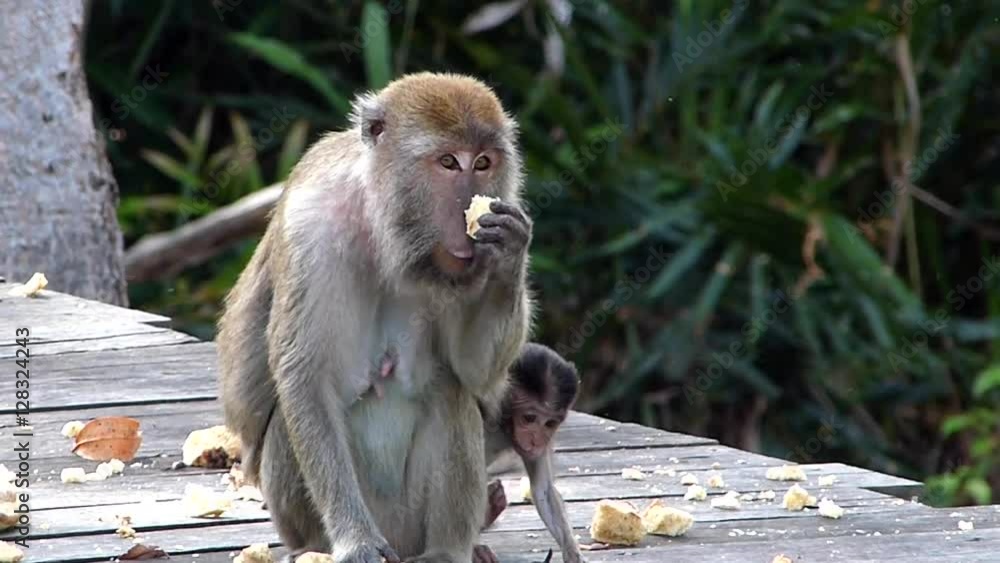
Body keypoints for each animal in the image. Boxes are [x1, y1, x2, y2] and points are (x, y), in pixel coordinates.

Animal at [216, 72, 533, 563]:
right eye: (448, 162)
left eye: (483, 162)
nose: (467, 206)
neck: (382, 226)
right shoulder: (312, 230)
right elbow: (305, 377)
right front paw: (355, 540)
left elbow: (474, 372)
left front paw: (510, 251)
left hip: (408, 521)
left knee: (450, 391)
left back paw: (447, 550)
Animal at [473, 343, 584, 563]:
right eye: (529, 418)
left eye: (550, 423)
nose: (536, 441)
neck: (502, 423)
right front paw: (474, 549)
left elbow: (544, 490)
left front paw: (573, 553)